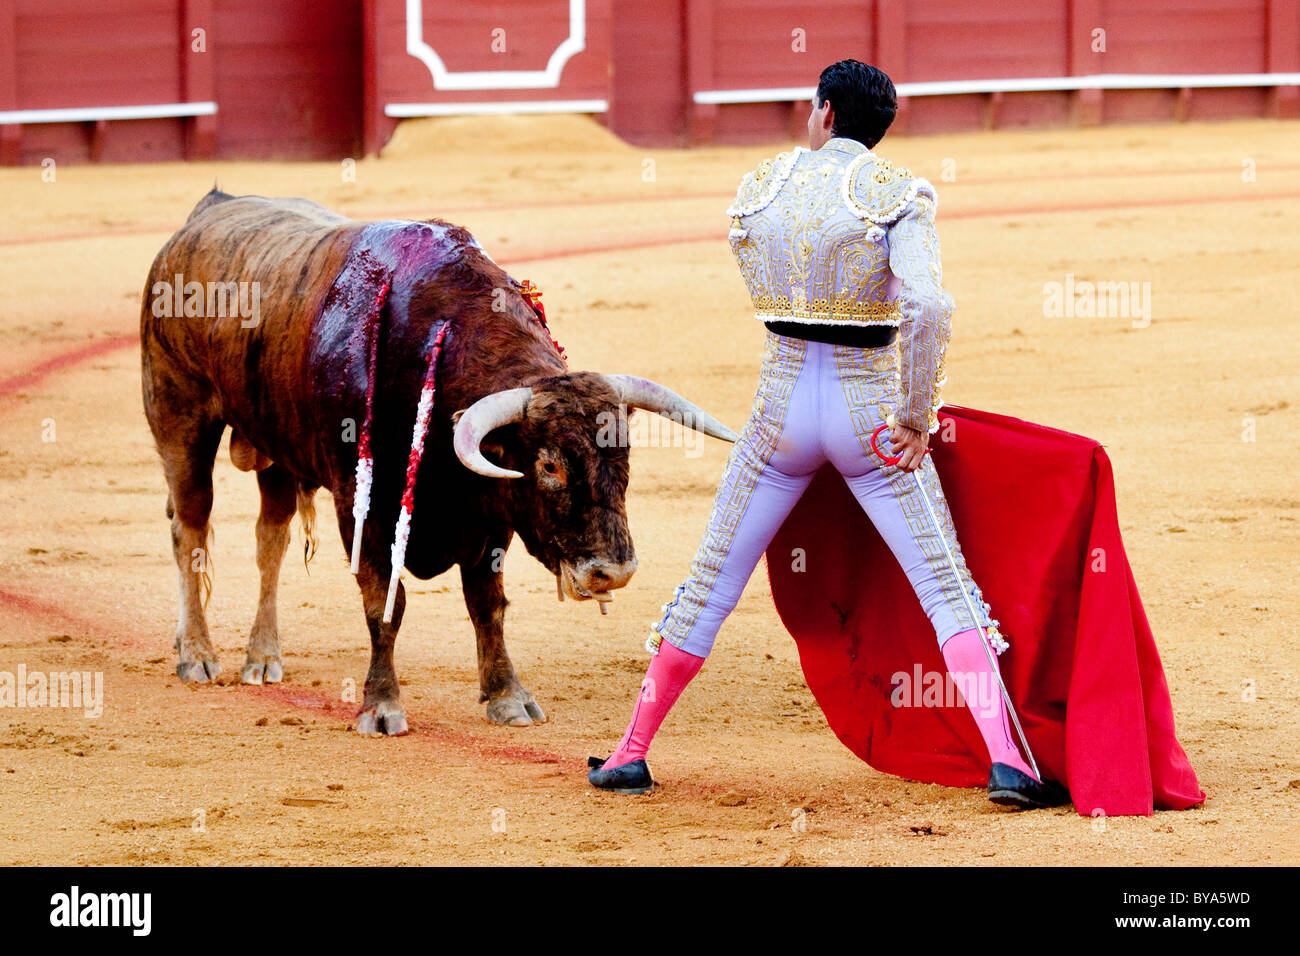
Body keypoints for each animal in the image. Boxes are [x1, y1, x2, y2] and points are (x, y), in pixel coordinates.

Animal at [140, 189, 738, 734]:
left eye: (624, 455)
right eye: (548, 467)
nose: (613, 572)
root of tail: (202, 215)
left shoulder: (492, 514)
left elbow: (487, 604)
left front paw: (508, 696)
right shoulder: (361, 507)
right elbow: (385, 604)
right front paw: (381, 706)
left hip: (276, 452)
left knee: (271, 538)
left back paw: (262, 656)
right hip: (180, 419)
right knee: (190, 527)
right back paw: (197, 655)